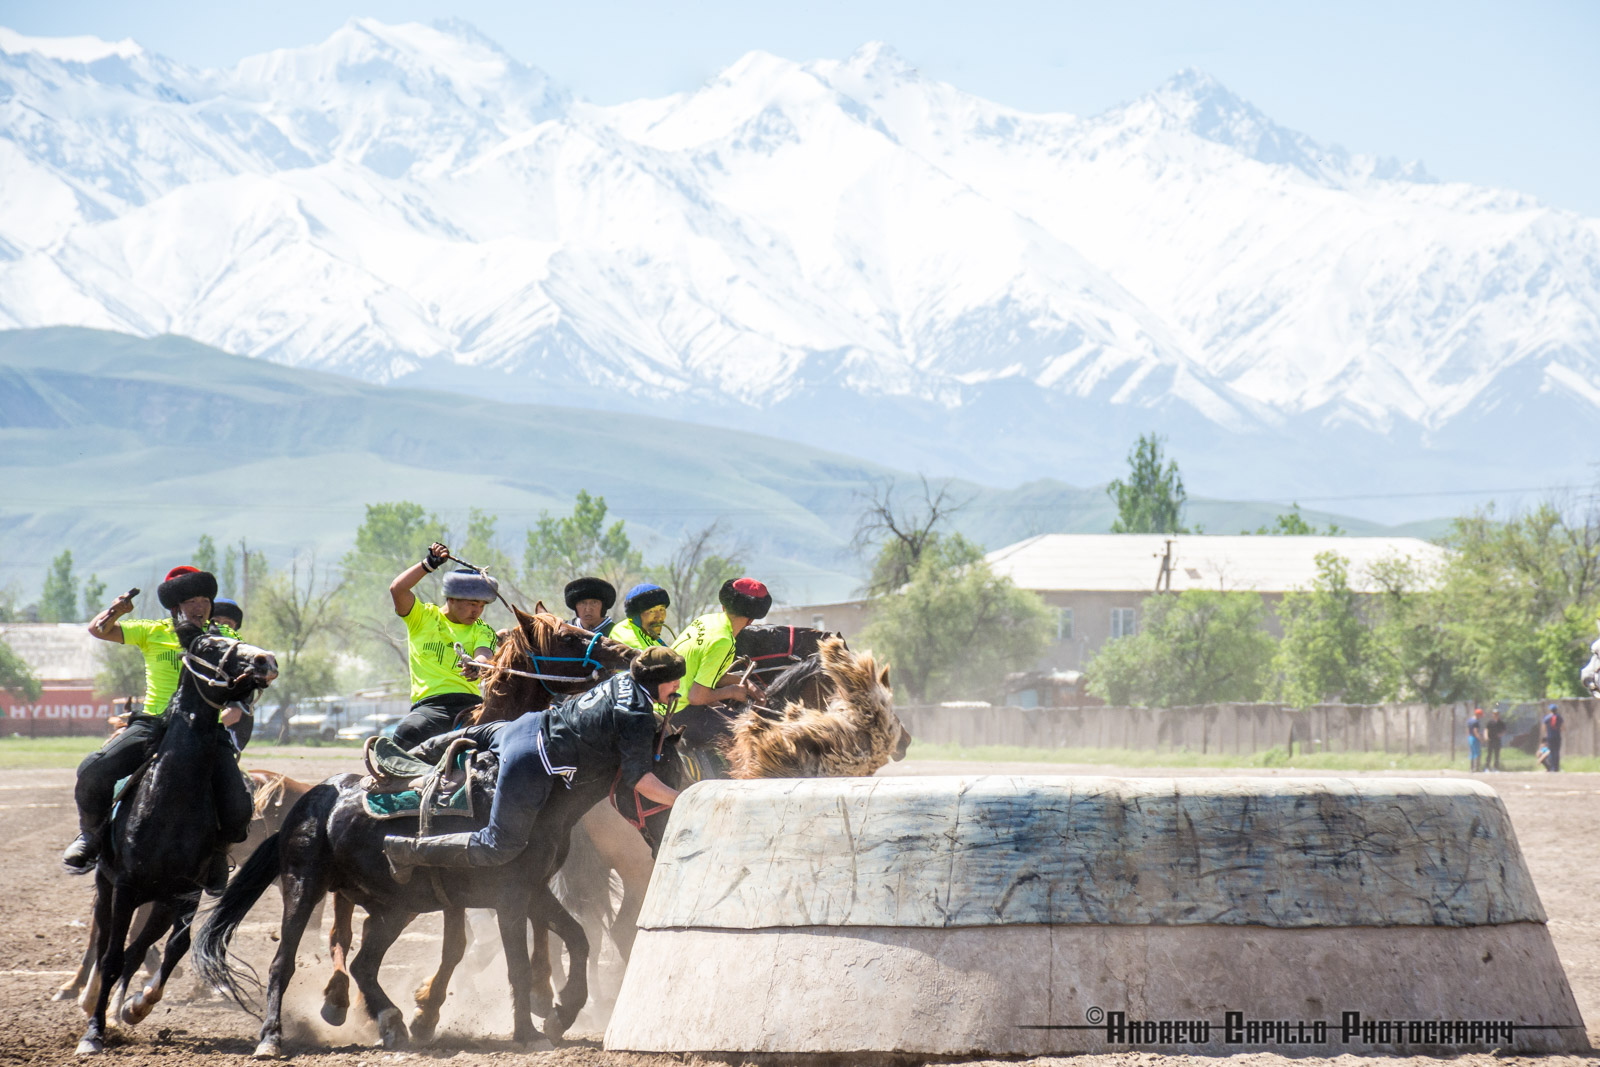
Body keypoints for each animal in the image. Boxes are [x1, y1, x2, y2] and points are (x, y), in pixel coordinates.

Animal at [74, 627, 278, 1056]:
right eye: (209, 647)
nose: (266, 660)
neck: (170, 795)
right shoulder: (126, 888)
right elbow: (112, 956)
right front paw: (93, 1033)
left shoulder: (188, 892)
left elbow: (172, 950)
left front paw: (137, 1006)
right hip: (109, 888)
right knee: (104, 943)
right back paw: (90, 998)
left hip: (162, 902)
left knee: (138, 949)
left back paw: (118, 1006)